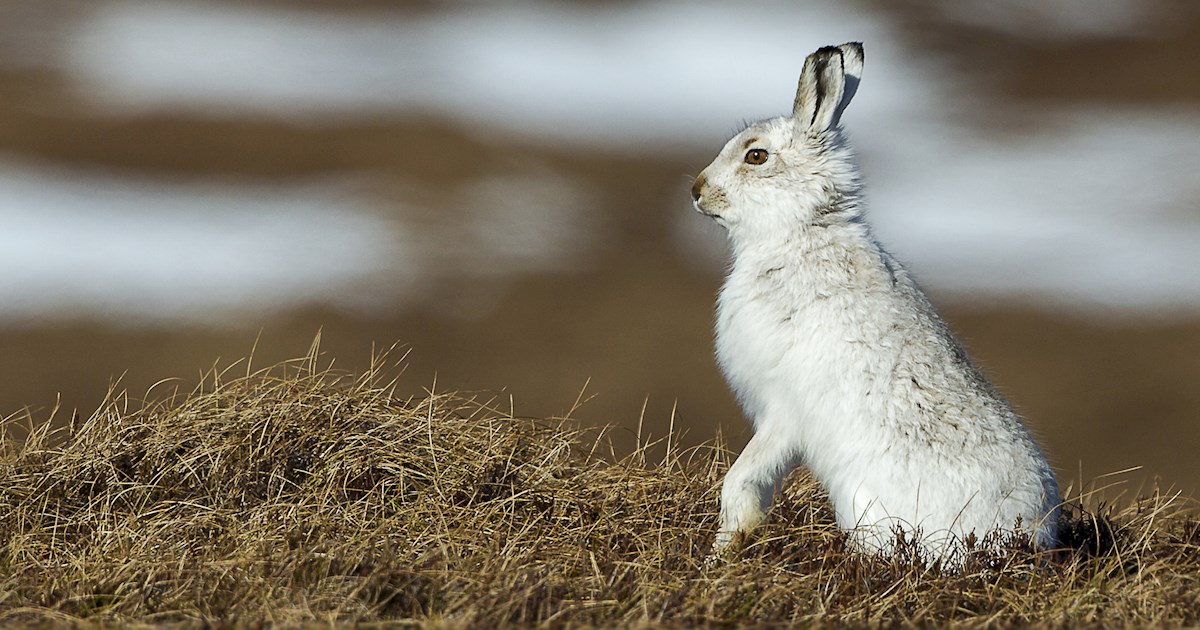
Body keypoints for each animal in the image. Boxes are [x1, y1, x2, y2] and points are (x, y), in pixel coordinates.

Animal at [691, 42, 1061, 560]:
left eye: (756, 156)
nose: (697, 190)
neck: (801, 233)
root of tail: (1031, 539)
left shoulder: (782, 410)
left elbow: (743, 477)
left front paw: (723, 548)